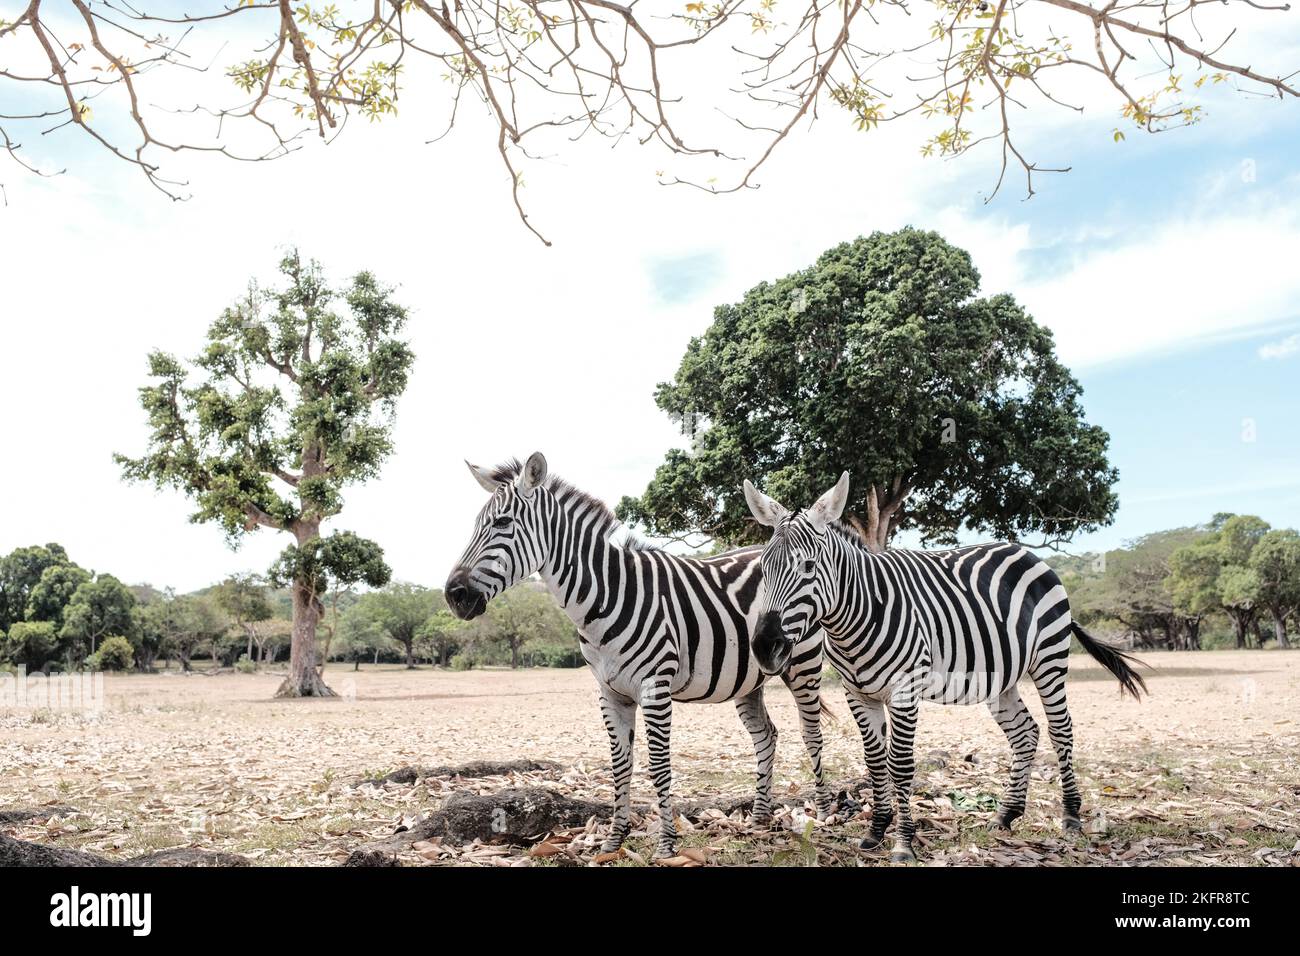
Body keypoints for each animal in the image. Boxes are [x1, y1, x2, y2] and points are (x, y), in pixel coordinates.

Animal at [444, 452, 832, 858]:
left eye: (502, 523)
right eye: (476, 525)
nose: (454, 595)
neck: (606, 595)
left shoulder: (654, 687)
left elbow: (658, 766)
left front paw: (667, 845)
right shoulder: (609, 691)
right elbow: (620, 765)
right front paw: (614, 840)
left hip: (803, 664)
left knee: (811, 732)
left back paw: (824, 814)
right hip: (748, 678)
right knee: (766, 735)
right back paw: (759, 819)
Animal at [742, 472, 1145, 863]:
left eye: (808, 567)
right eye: (763, 569)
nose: (764, 647)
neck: (855, 617)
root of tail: (1026, 552)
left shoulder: (904, 691)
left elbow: (900, 764)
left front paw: (903, 844)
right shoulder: (856, 693)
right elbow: (874, 761)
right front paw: (876, 831)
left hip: (1050, 659)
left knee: (1061, 730)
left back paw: (1071, 817)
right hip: (999, 677)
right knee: (1025, 732)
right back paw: (1006, 814)